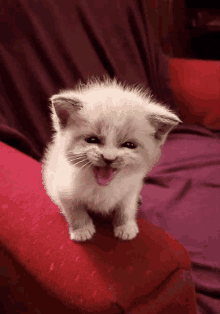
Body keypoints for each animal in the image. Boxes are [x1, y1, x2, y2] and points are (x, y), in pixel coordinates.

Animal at [41, 78, 180, 240]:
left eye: (129, 145)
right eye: (92, 140)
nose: (108, 158)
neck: (103, 187)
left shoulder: (131, 189)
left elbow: (125, 208)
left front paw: (125, 226)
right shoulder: (62, 188)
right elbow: (75, 210)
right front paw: (82, 229)